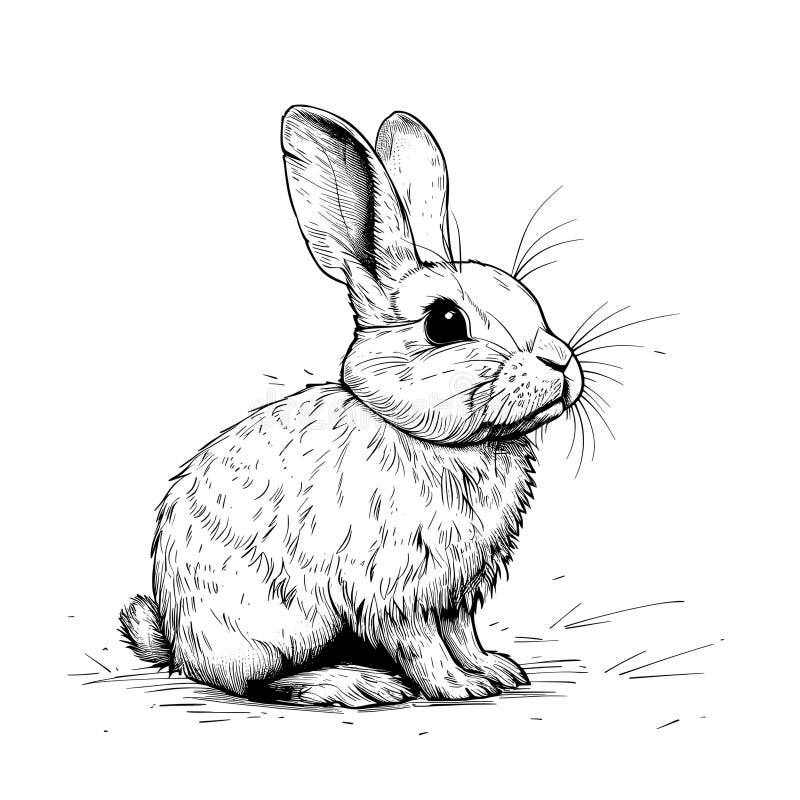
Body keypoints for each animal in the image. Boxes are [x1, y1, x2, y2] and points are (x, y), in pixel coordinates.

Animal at [120, 105, 584, 707]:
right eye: (445, 322)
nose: (560, 365)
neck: (432, 440)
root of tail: (178, 643)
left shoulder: (454, 592)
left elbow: (462, 634)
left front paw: (495, 671)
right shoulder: (393, 591)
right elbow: (422, 645)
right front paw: (457, 687)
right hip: (278, 625)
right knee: (253, 682)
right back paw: (354, 684)